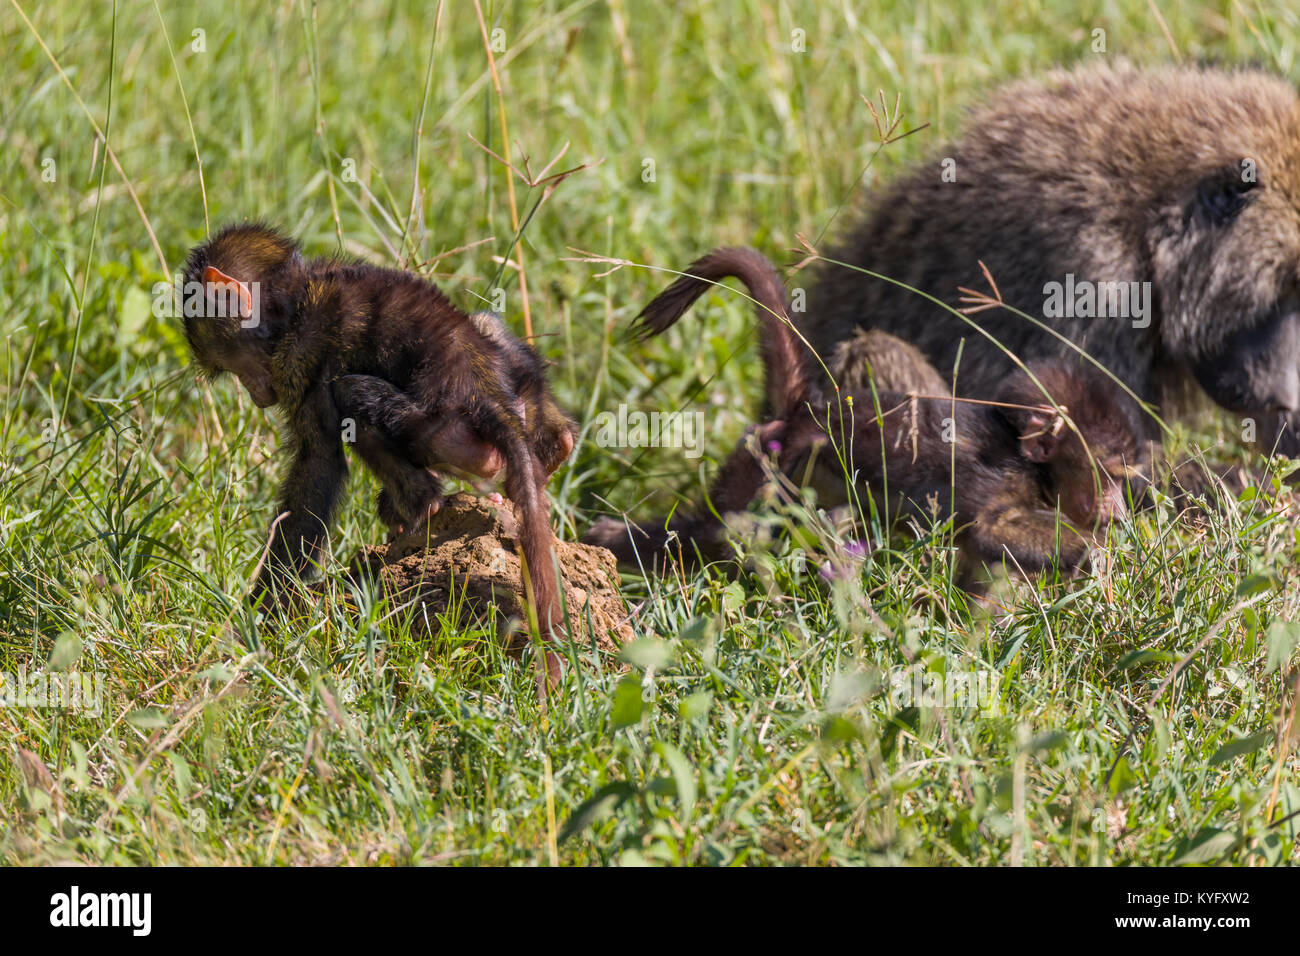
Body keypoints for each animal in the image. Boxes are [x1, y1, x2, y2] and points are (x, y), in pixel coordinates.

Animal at [181, 223, 575, 680]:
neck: (293, 293)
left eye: (234, 366)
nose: (258, 397)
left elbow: (319, 463)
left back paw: (424, 505)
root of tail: (488, 393)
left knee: (350, 396)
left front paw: (259, 611)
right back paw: (549, 450)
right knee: (486, 327)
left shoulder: (299, 355)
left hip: (442, 429)